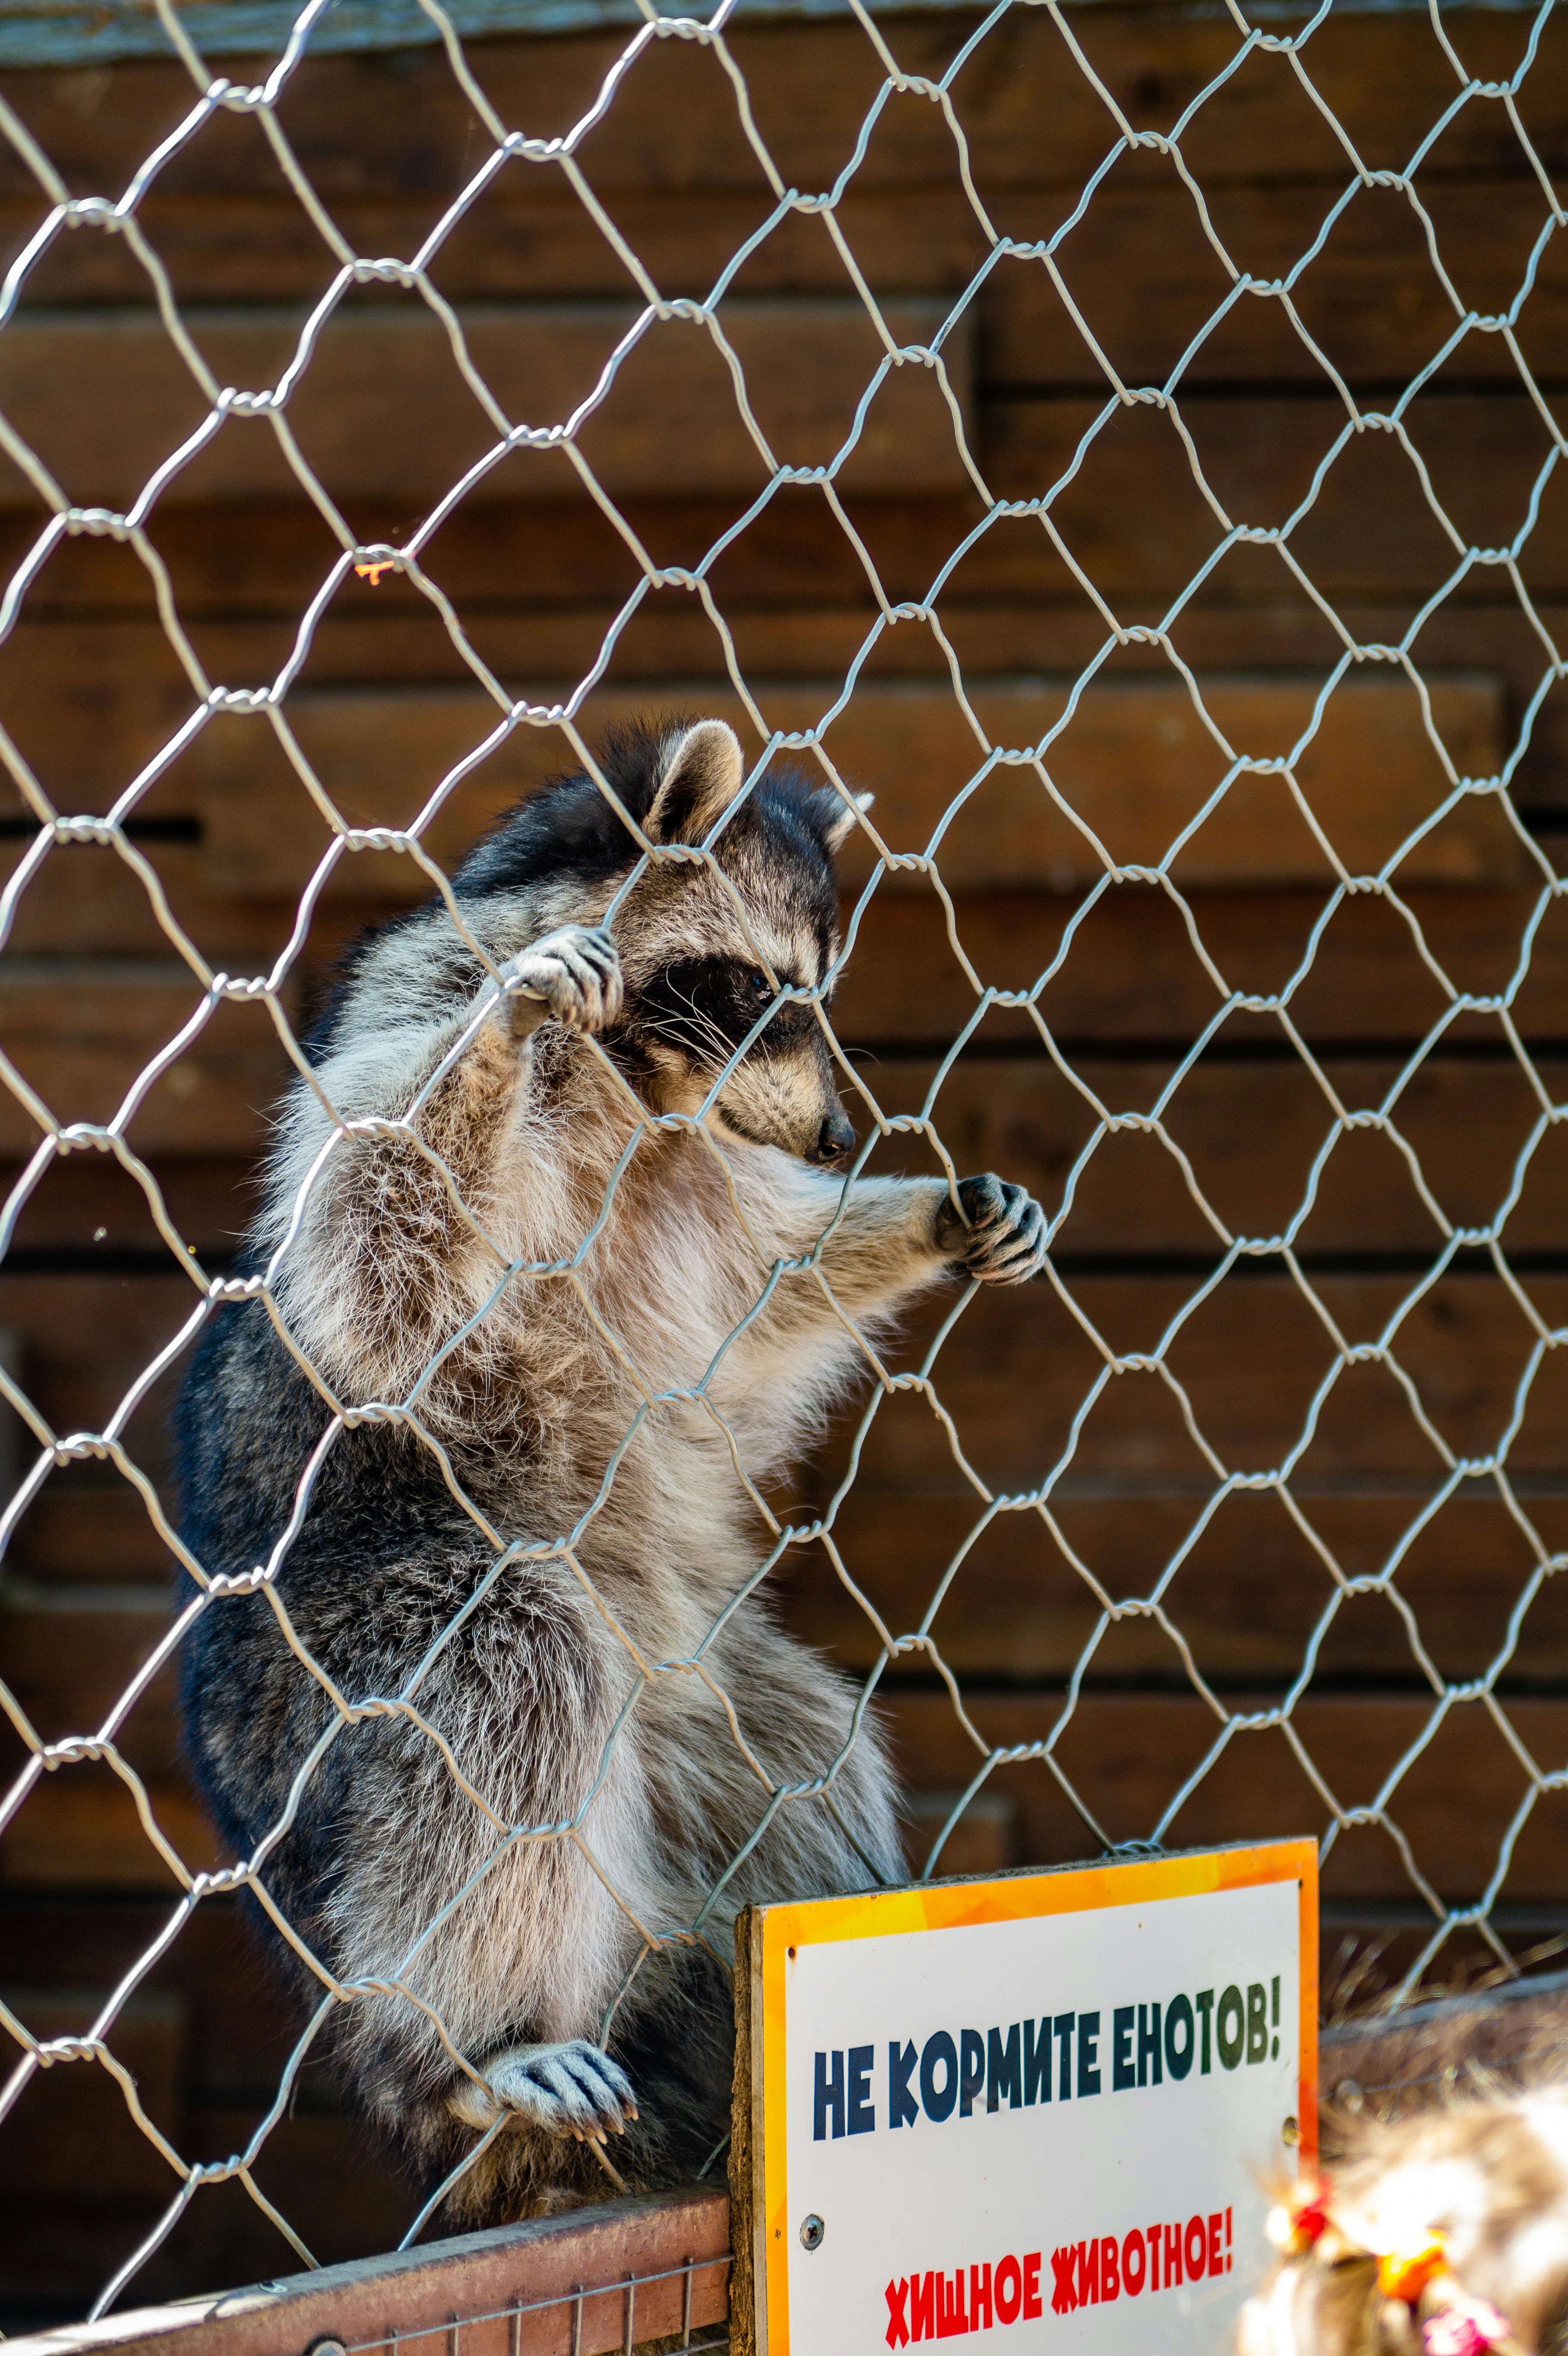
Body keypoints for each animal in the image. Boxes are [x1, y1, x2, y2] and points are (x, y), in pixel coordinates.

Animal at [176, 717, 1046, 2227]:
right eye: (755, 988)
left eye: (815, 995)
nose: (839, 1141)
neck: (643, 1086)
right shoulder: (392, 1036)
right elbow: (379, 1249)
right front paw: (506, 1031)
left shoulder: (702, 1180)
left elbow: (758, 1306)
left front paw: (921, 1213)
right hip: (325, 1685)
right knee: (512, 1681)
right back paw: (467, 2050)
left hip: (697, 1692)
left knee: (802, 1754)